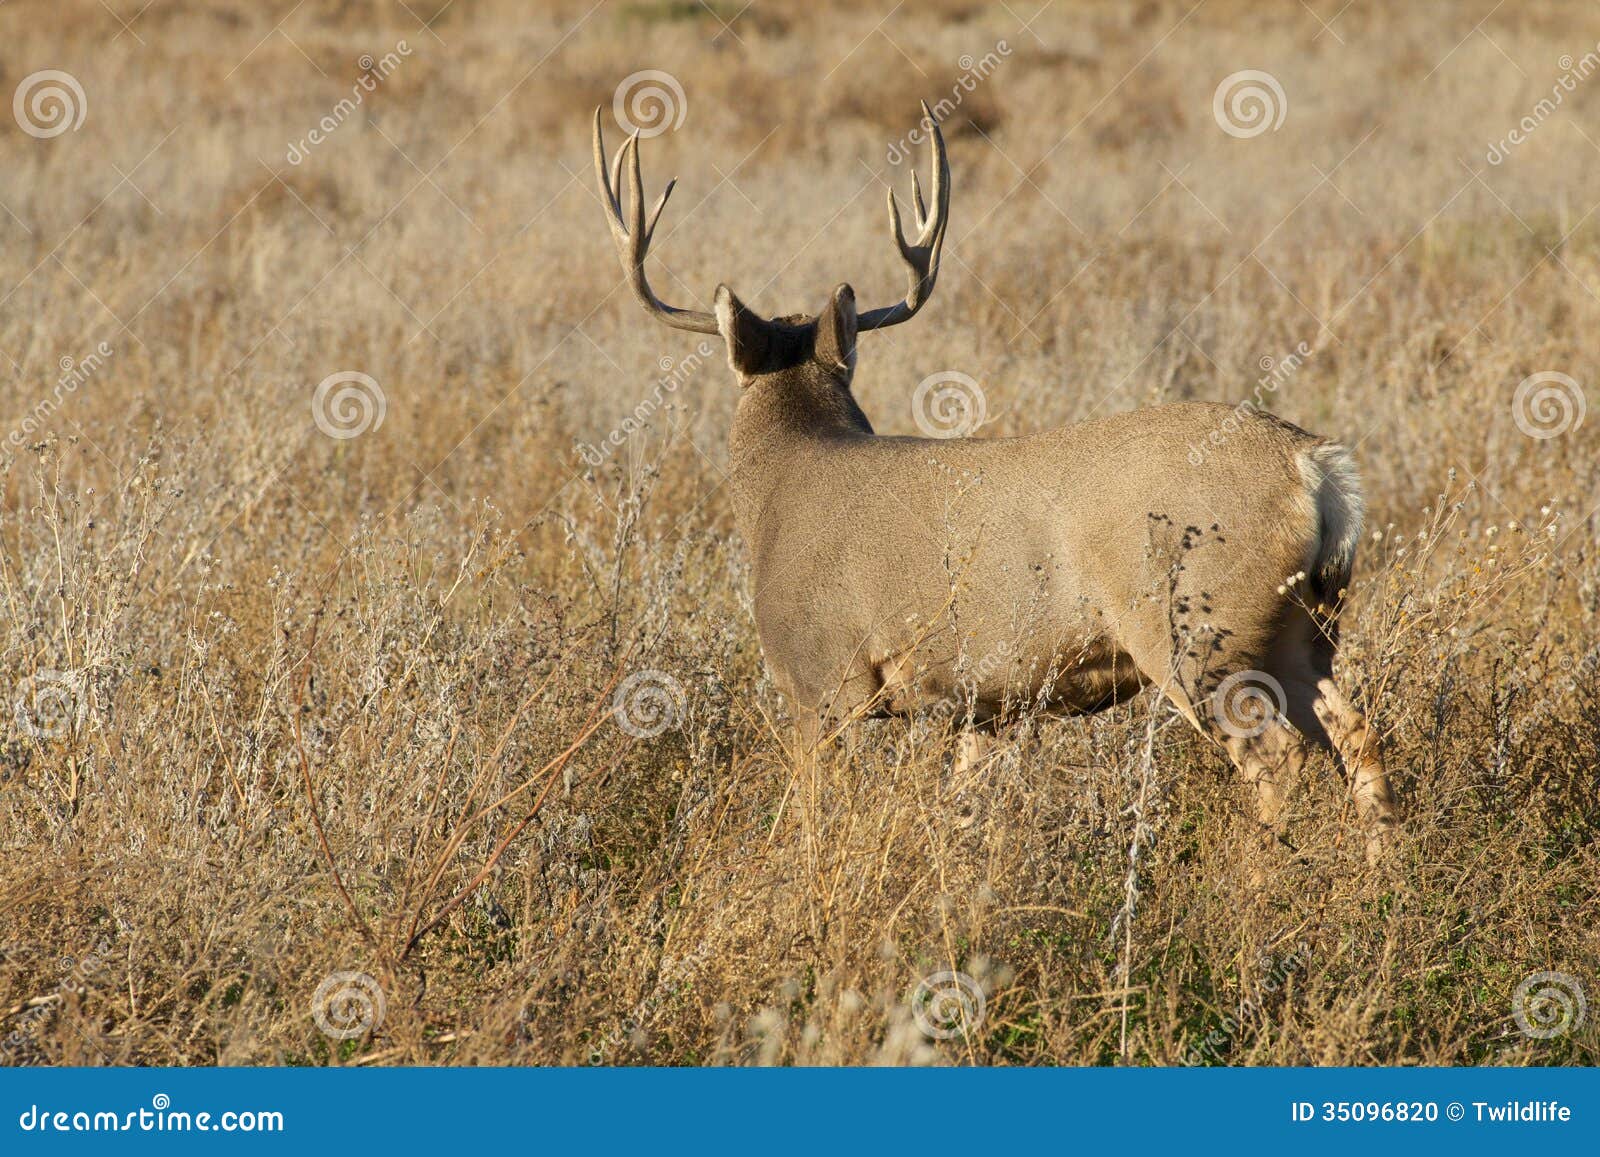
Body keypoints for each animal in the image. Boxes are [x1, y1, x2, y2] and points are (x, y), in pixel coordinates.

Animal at [592, 104, 1400, 861]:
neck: (782, 484)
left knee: (1277, 756)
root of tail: (1314, 466)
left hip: (1200, 627)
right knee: (1353, 729)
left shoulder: (822, 677)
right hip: (1303, 625)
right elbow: (966, 809)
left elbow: (816, 817)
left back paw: (1267, 884)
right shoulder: (981, 702)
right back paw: (1380, 875)